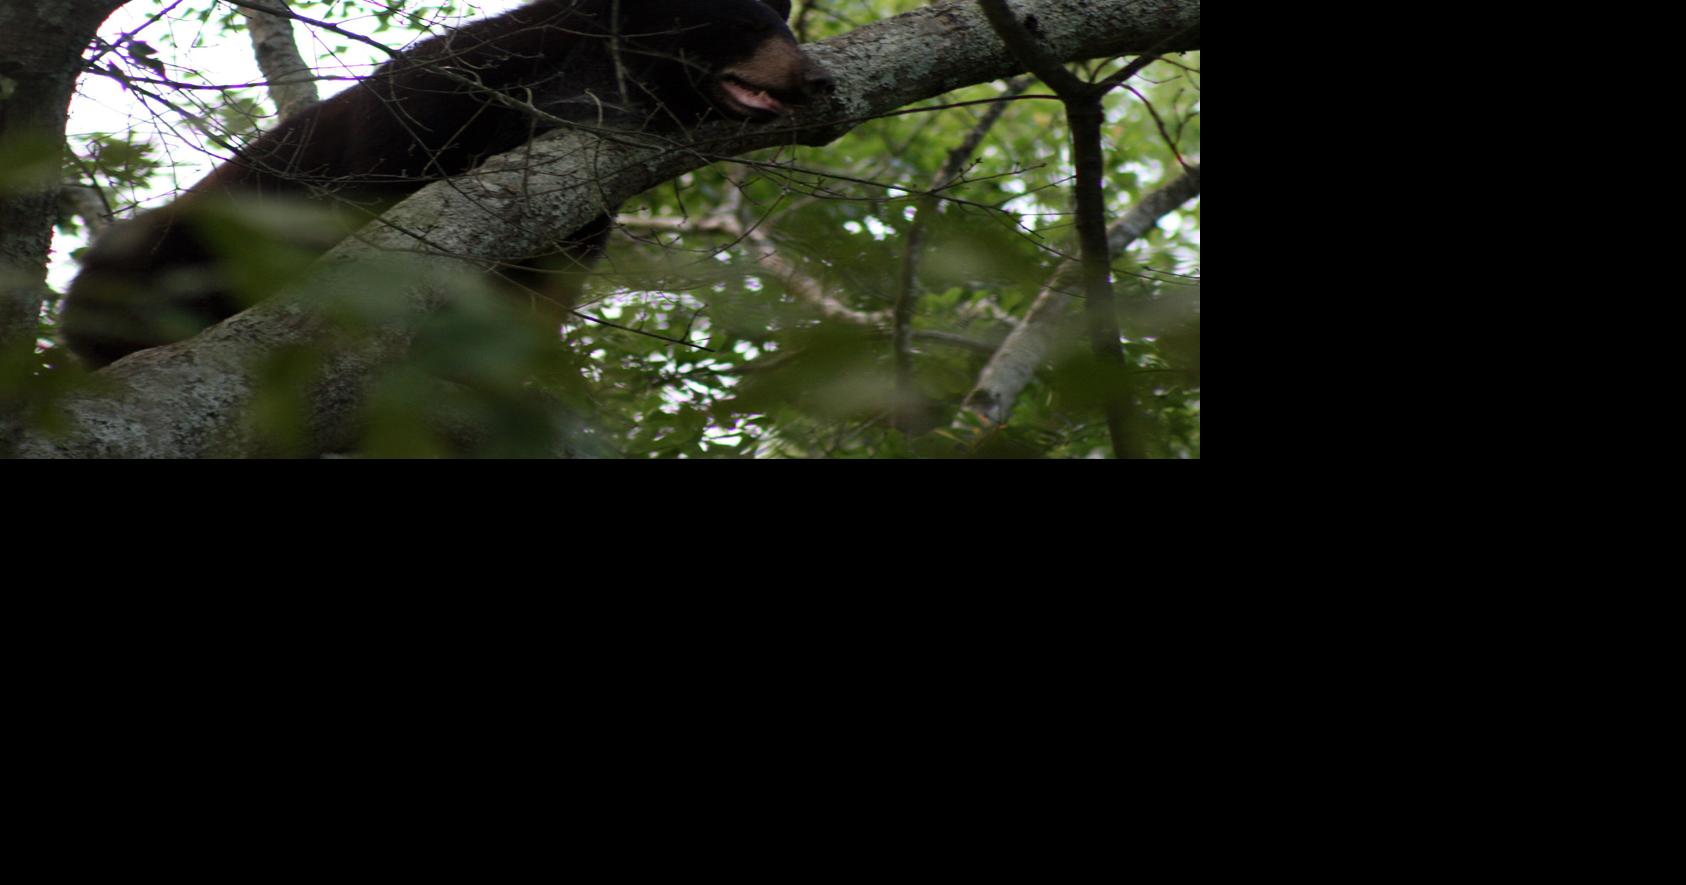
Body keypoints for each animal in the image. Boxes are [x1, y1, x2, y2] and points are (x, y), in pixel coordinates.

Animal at [60, 0, 832, 368]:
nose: (819, 77)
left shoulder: (584, 205)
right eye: (746, 27)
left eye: (787, 28)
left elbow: (538, 280)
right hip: (181, 240)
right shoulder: (428, 103)